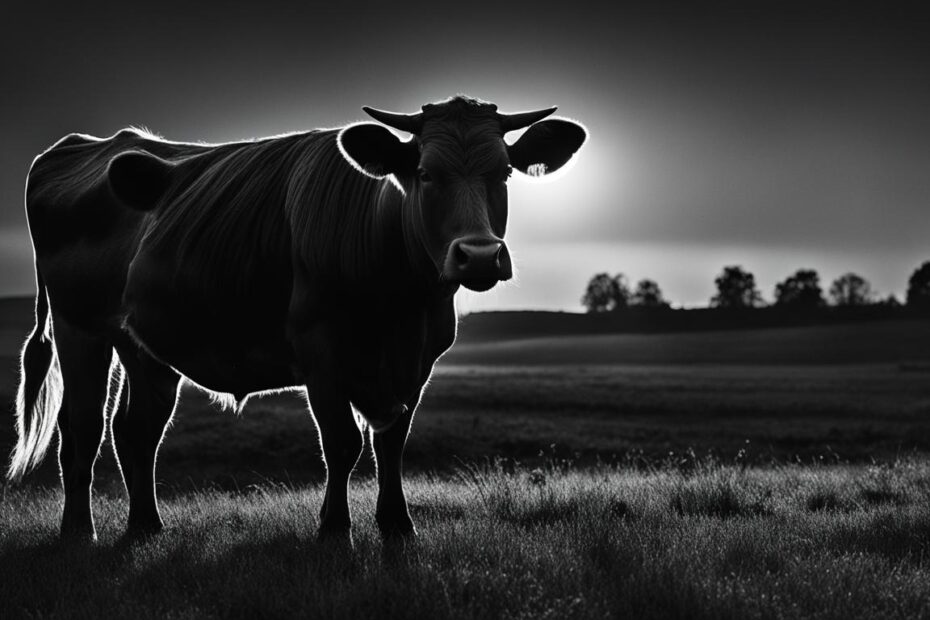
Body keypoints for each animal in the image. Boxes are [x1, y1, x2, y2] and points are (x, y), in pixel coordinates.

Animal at [8, 95, 586, 542]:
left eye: (503, 172)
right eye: (425, 173)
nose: (480, 256)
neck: (401, 300)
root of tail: (80, 147)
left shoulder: (418, 359)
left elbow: (392, 441)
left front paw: (398, 526)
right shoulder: (320, 351)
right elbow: (343, 443)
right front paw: (334, 530)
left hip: (145, 346)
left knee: (136, 431)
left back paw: (146, 527)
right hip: (80, 327)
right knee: (82, 428)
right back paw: (79, 532)